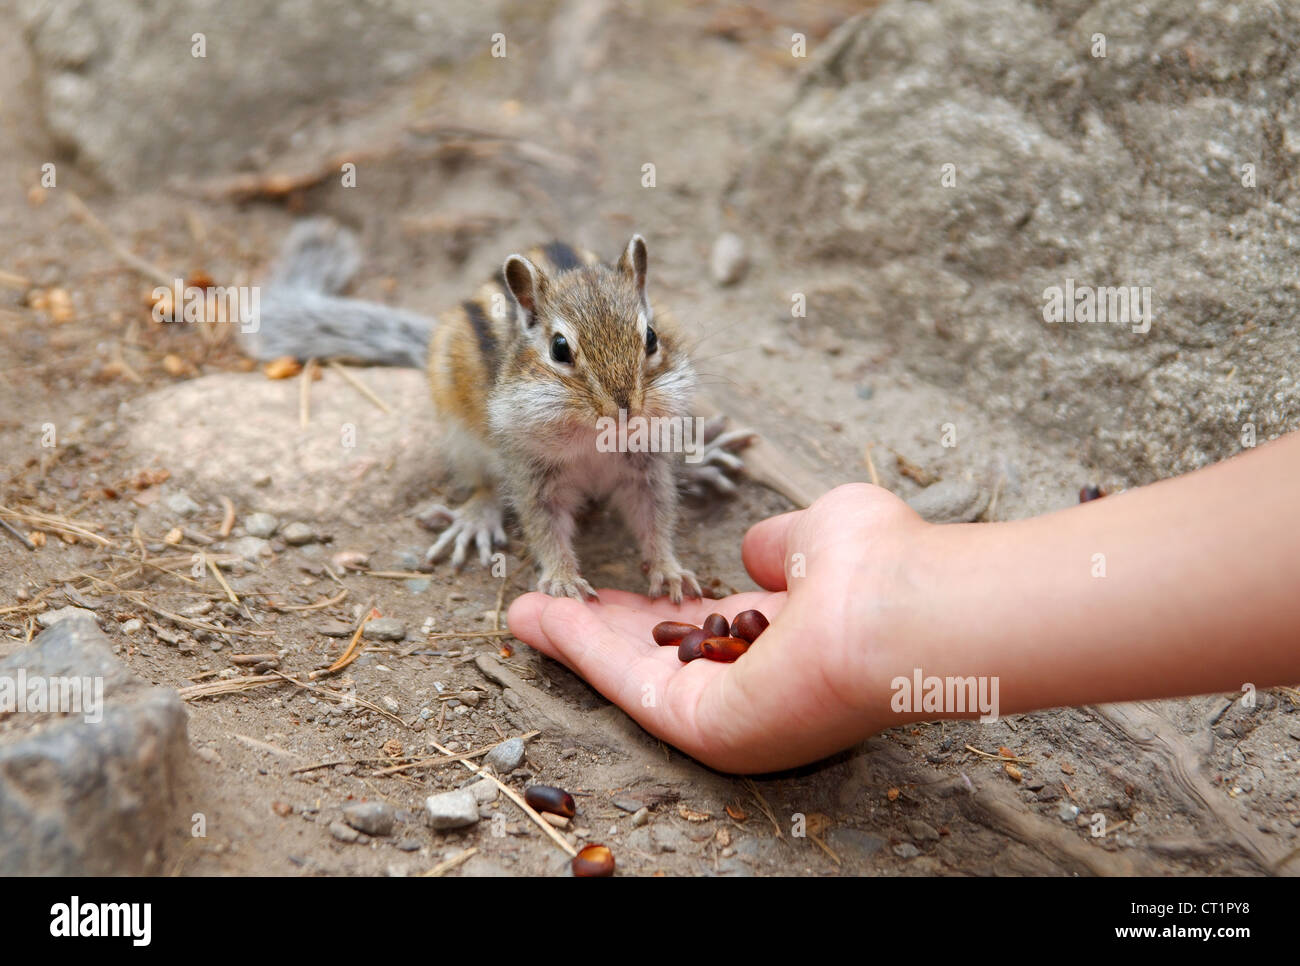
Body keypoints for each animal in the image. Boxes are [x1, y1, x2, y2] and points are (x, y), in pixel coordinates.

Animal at [246, 219, 750, 602]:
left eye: (651, 338)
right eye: (560, 348)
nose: (624, 409)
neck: (594, 439)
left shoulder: (646, 463)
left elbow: (656, 516)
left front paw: (669, 570)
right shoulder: (532, 471)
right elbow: (543, 526)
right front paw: (563, 579)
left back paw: (701, 458)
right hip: (461, 432)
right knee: (483, 482)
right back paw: (475, 518)